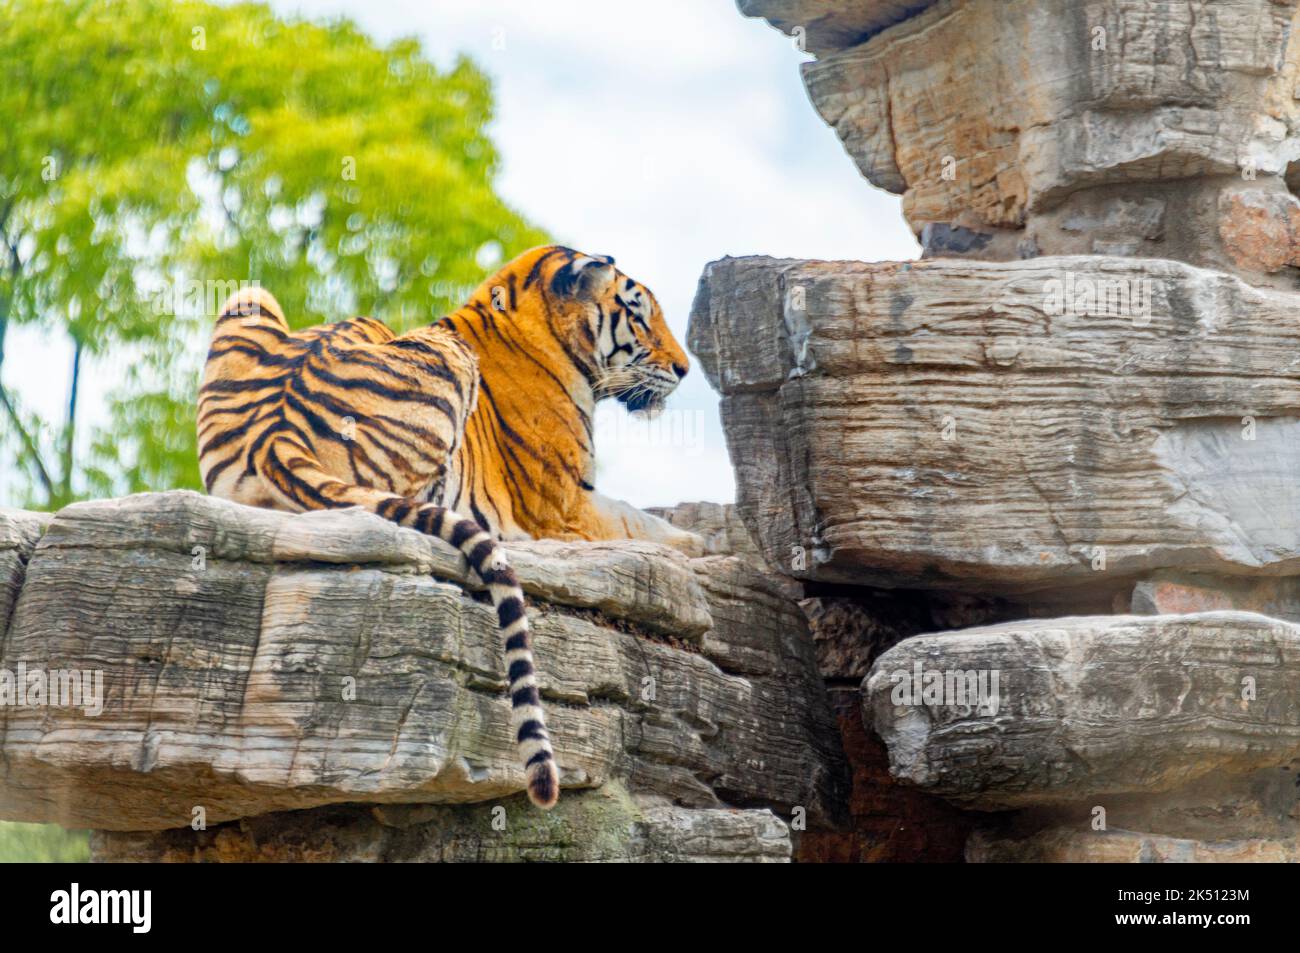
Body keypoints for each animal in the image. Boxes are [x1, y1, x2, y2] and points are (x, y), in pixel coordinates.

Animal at [197, 244, 701, 809]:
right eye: (638, 314)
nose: (684, 369)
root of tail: (272, 432)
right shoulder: (567, 504)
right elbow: (643, 524)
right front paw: (703, 544)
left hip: (248, 298)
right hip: (440, 357)